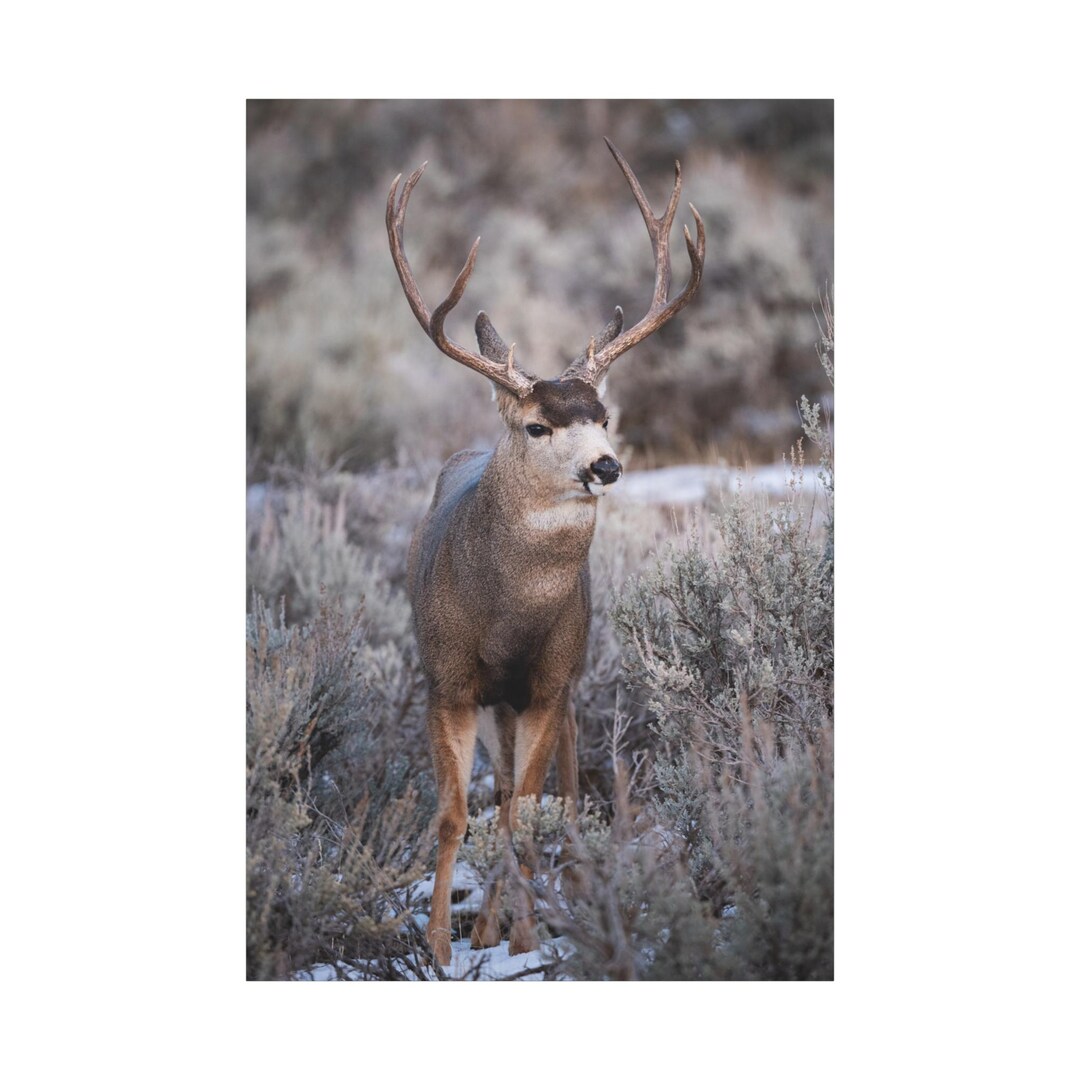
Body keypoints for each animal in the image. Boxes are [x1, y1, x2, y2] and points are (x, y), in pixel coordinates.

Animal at [386, 138, 705, 965]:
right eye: (537, 425)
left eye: (603, 415)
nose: (606, 465)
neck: (507, 617)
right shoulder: (447, 678)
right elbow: (454, 814)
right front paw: (438, 948)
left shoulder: (548, 682)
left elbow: (526, 813)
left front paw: (523, 938)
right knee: (495, 795)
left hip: (550, 694)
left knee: (535, 791)